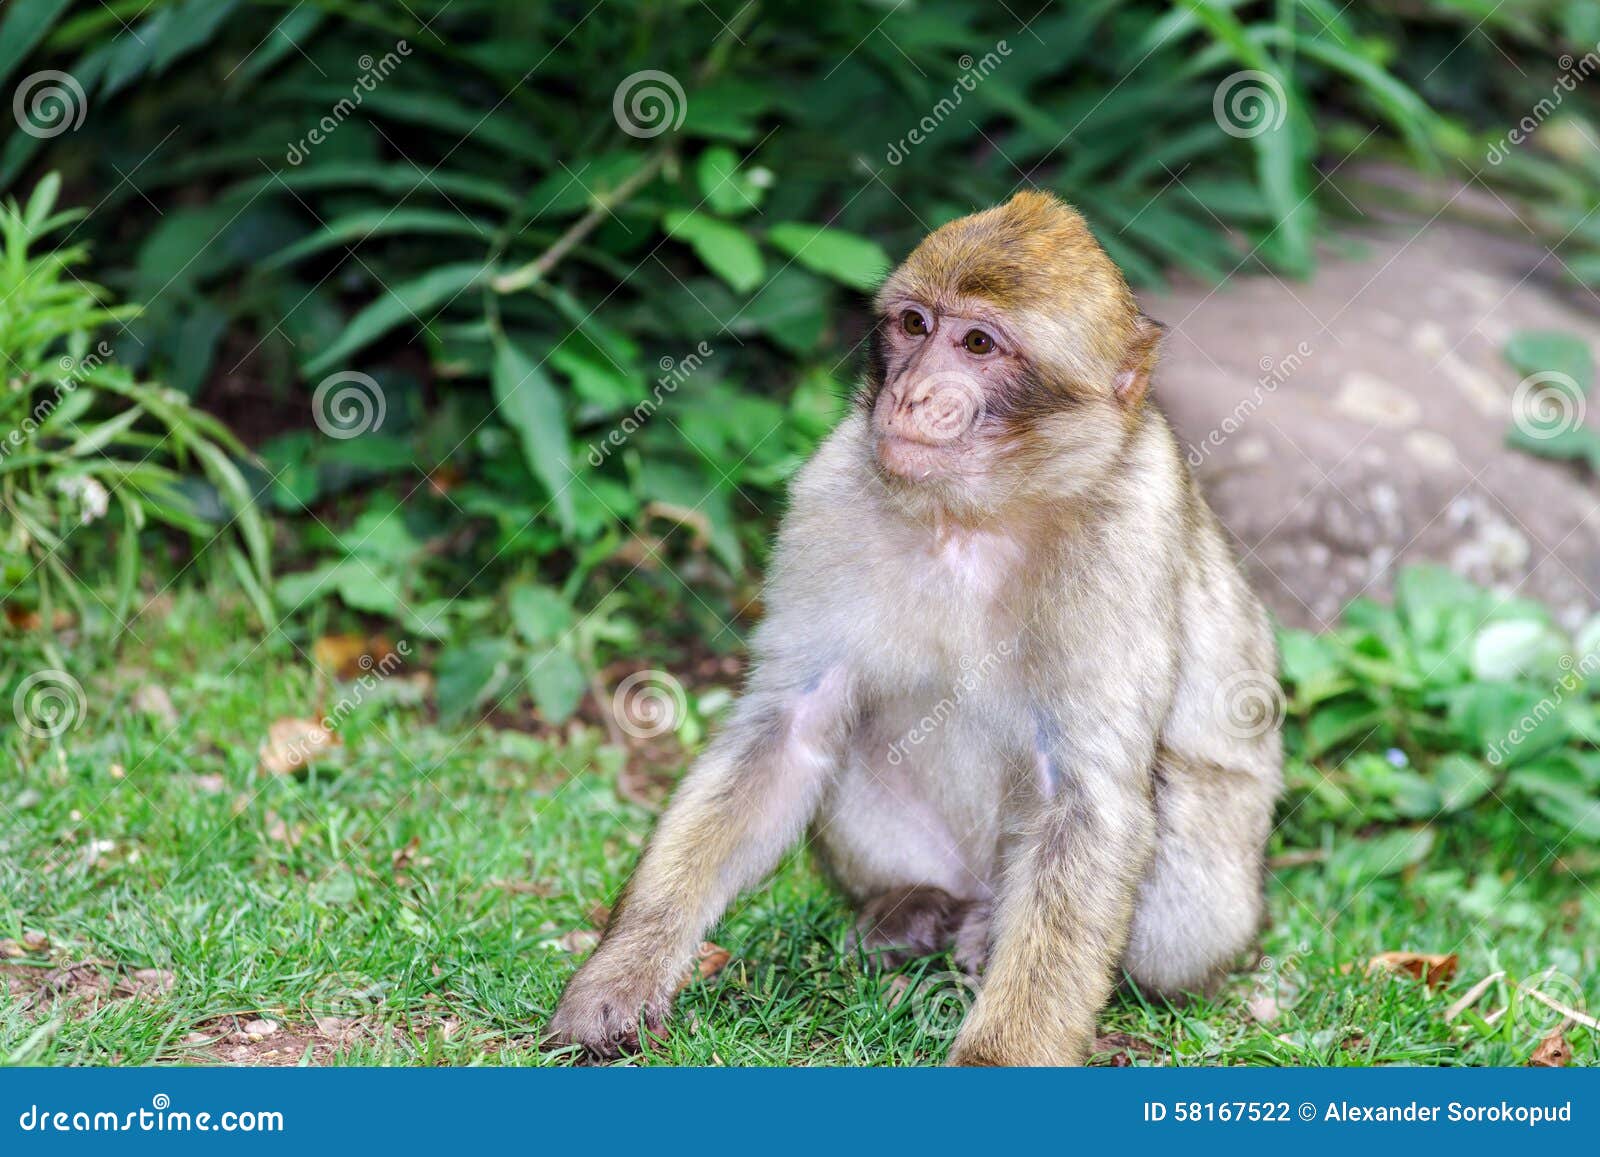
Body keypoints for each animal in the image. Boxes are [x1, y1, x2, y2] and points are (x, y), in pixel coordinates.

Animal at [547, 190, 1283, 1066]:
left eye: (978, 343)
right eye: (912, 325)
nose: (911, 395)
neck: (972, 516)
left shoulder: (1129, 533)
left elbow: (1089, 797)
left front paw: (1000, 1060)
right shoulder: (833, 486)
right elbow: (790, 728)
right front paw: (623, 970)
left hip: (1216, 904)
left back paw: (984, 932)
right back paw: (917, 907)